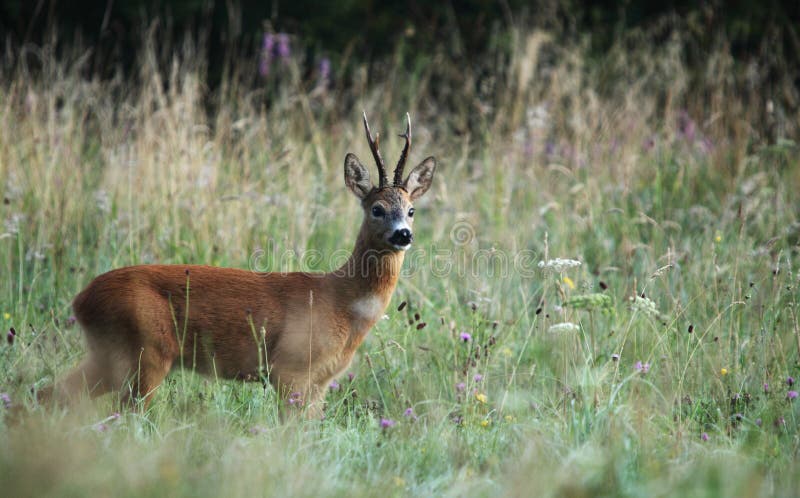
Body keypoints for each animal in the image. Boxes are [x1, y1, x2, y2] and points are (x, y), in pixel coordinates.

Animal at [38, 113, 436, 418]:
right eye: (377, 209)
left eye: (412, 210)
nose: (403, 234)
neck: (342, 302)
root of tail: (81, 299)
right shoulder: (289, 367)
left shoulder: (321, 381)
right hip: (146, 350)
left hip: (110, 354)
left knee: (49, 394)